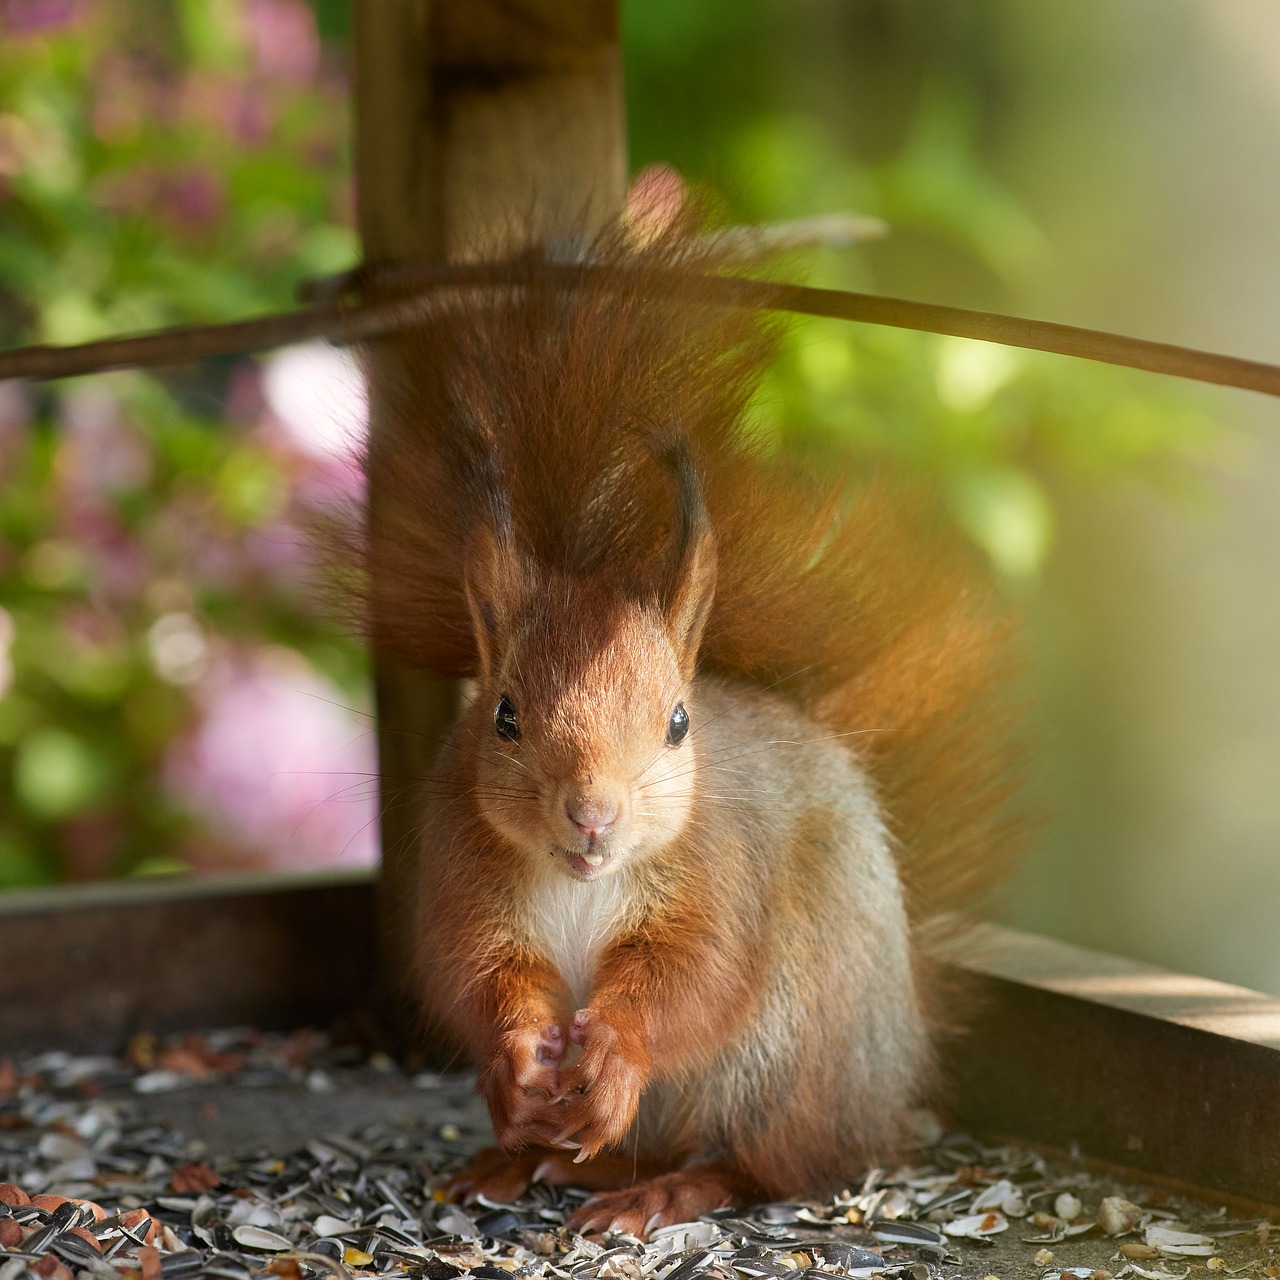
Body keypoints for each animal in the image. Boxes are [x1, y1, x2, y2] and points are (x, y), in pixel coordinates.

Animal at [357, 213, 1020, 1237]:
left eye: (677, 722)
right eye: (503, 715)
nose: (592, 814)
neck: (584, 881)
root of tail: (887, 1076)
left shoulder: (720, 879)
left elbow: (695, 978)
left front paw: (616, 1052)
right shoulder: (465, 877)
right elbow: (480, 972)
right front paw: (513, 1060)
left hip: (785, 1058)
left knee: (763, 1166)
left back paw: (661, 1193)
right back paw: (529, 1161)